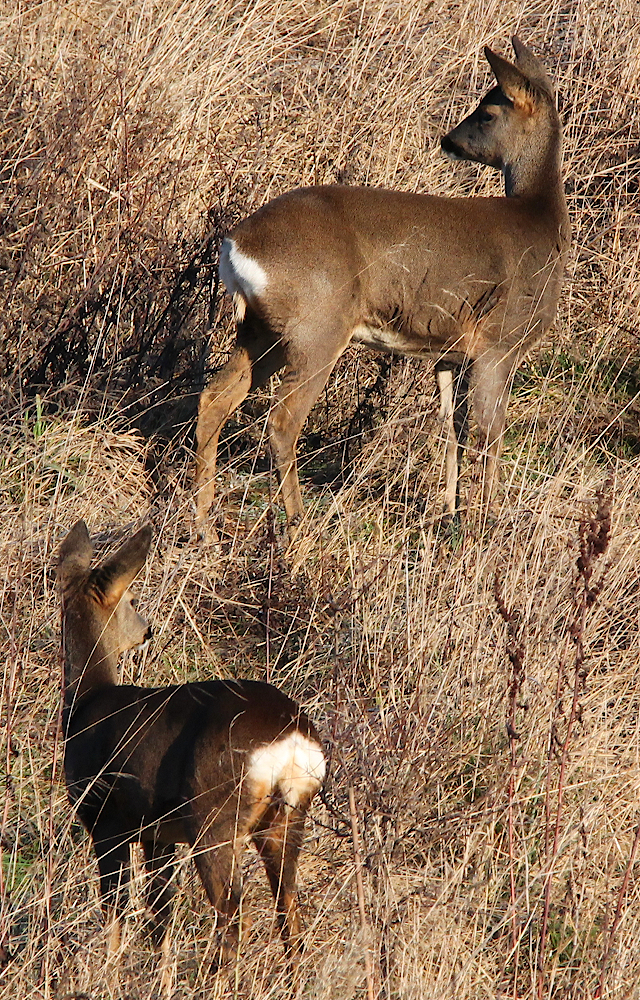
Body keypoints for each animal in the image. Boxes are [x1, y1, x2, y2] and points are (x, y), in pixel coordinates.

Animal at [57, 520, 326, 986]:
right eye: (132, 600)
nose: (147, 629)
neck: (87, 702)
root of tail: (291, 736)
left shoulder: (107, 819)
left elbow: (117, 910)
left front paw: (109, 976)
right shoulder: (157, 834)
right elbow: (159, 914)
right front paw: (157, 979)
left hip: (212, 815)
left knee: (232, 907)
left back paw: (215, 980)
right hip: (287, 816)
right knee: (287, 902)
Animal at [194, 36, 569, 538]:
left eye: (488, 111)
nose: (448, 140)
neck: (541, 221)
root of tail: (234, 245)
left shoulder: (448, 353)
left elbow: (450, 431)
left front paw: (450, 516)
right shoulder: (499, 341)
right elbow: (489, 434)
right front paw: (487, 524)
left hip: (261, 330)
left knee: (215, 399)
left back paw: (202, 525)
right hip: (317, 326)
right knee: (282, 421)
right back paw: (297, 529)